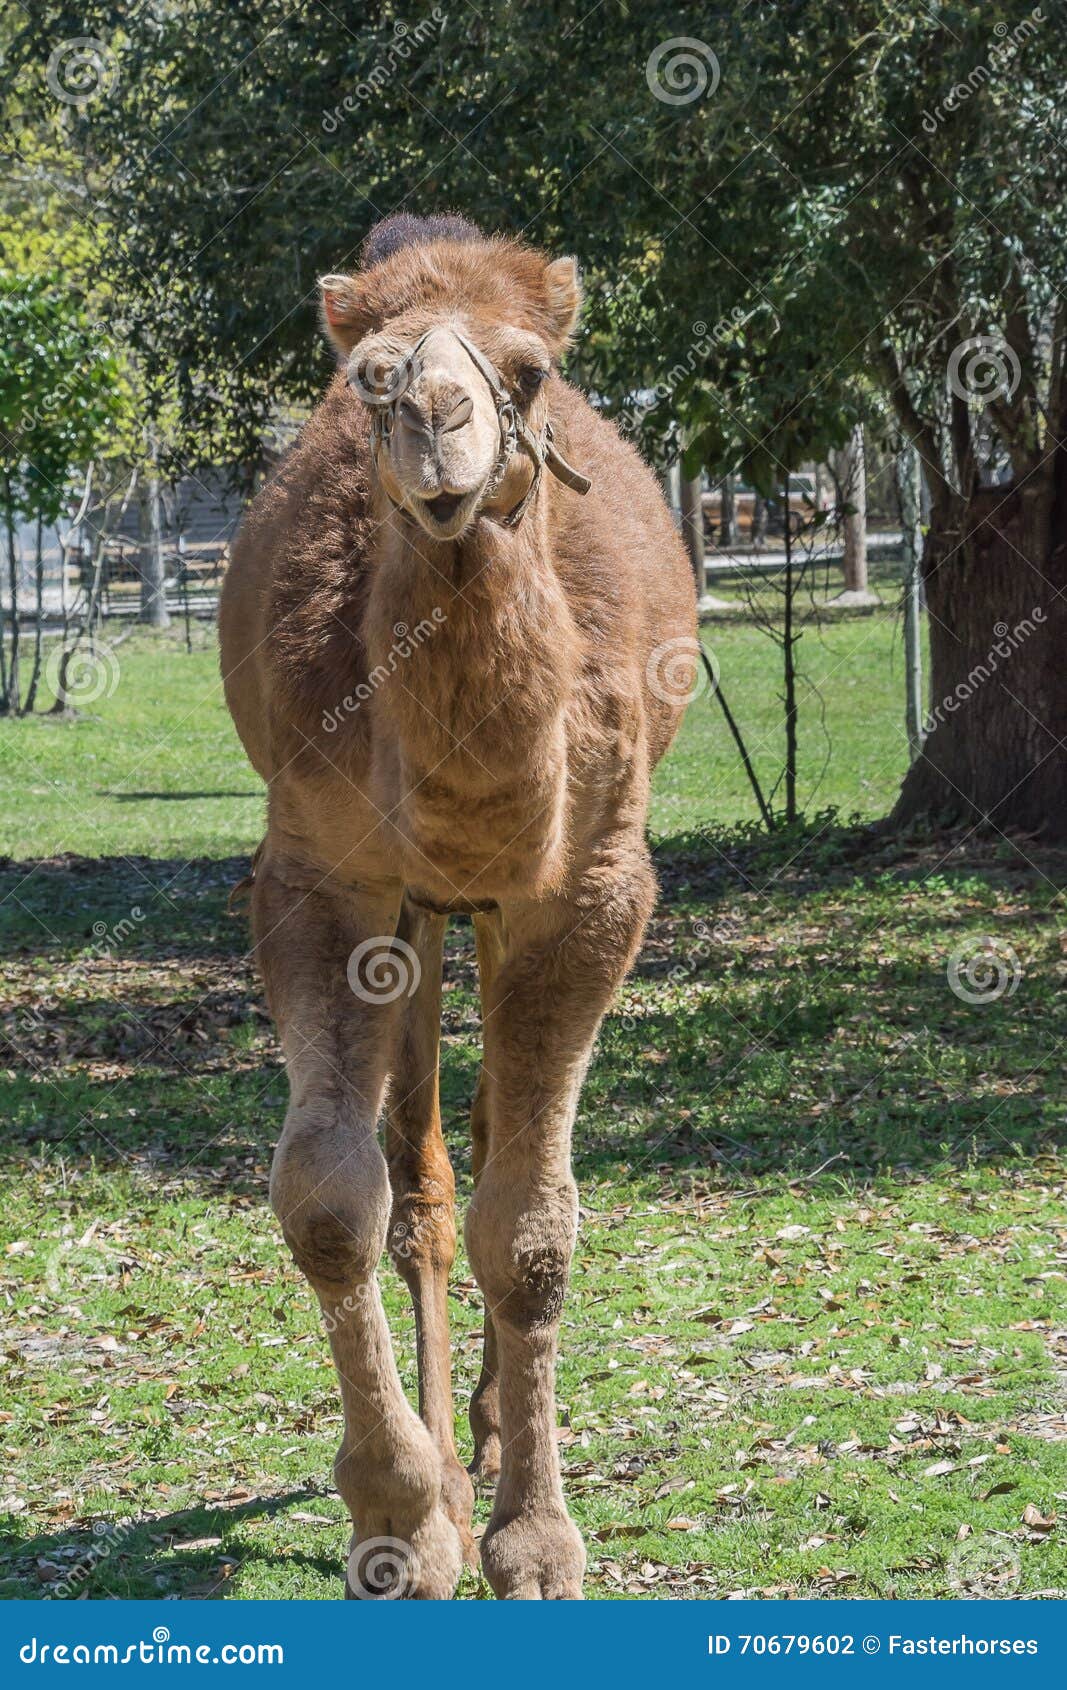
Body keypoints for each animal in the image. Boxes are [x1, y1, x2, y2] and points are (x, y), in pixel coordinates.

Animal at [219, 212, 697, 1600]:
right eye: (366, 376)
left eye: (528, 373)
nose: (436, 415)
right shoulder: (320, 875)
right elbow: (332, 1202)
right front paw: (400, 1519)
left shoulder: (587, 886)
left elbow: (531, 1227)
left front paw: (534, 1543)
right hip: (421, 913)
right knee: (424, 1172)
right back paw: (447, 1453)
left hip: (478, 909)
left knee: (481, 1149)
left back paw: (483, 1437)